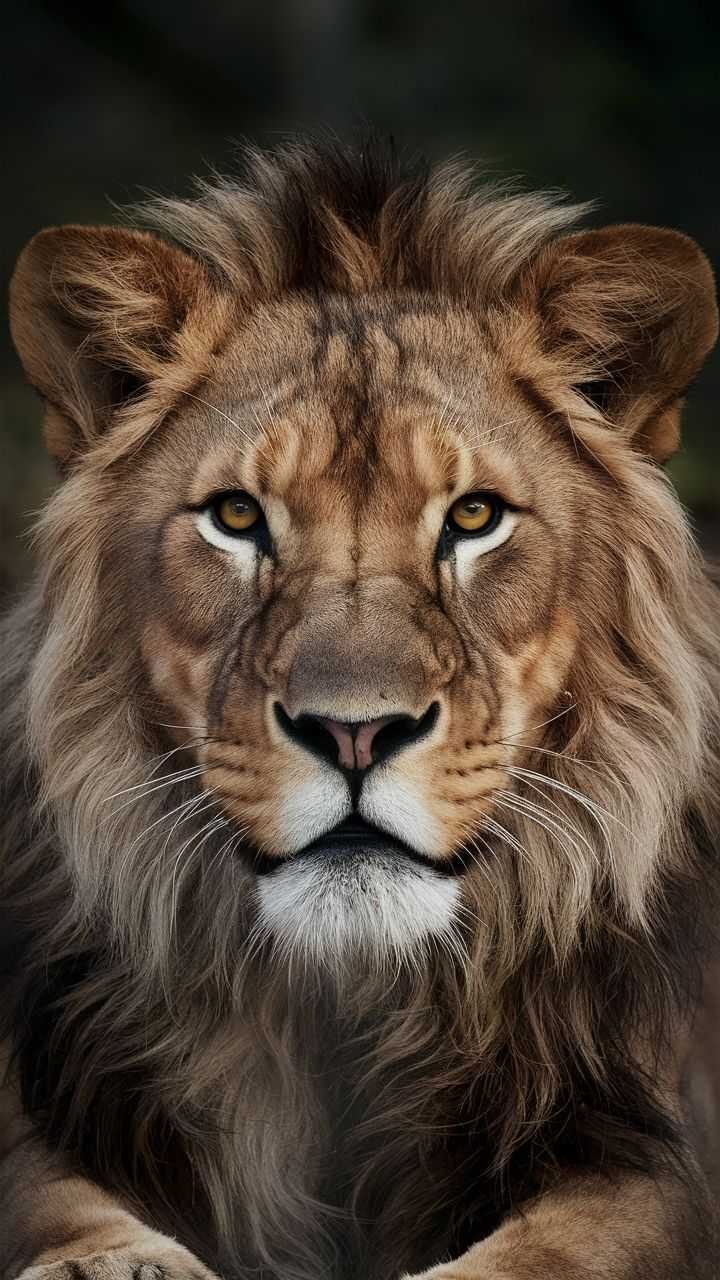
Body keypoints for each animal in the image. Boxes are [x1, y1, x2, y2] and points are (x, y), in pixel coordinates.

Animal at [1, 137, 719, 1280]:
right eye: (235, 516)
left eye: (474, 517)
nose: (354, 731)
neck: (342, 1007)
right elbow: (46, 1196)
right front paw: (110, 1260)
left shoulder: (648, 1152)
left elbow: (559, 1249)